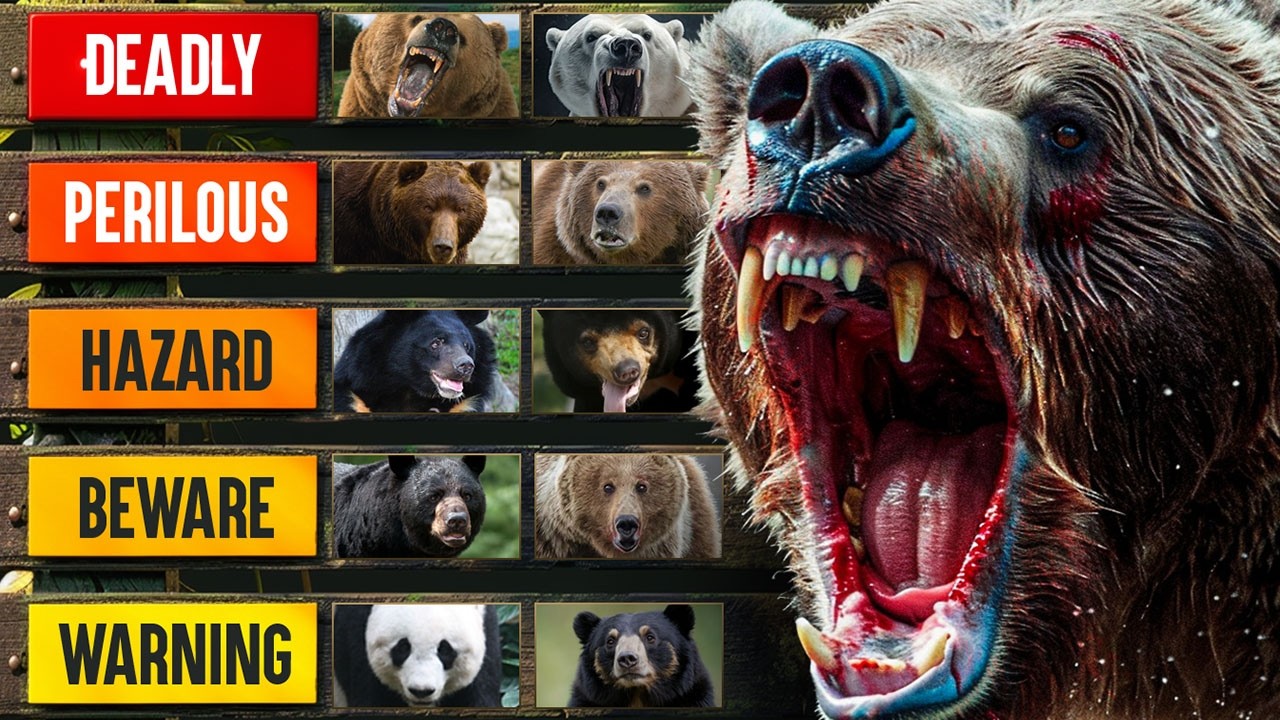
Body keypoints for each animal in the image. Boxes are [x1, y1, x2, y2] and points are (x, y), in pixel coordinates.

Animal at [334, 309, 500, 413]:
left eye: (467, 345)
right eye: (436, 343)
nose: (466, 366)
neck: (410, 390)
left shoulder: (466, 403)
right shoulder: (355, 398)